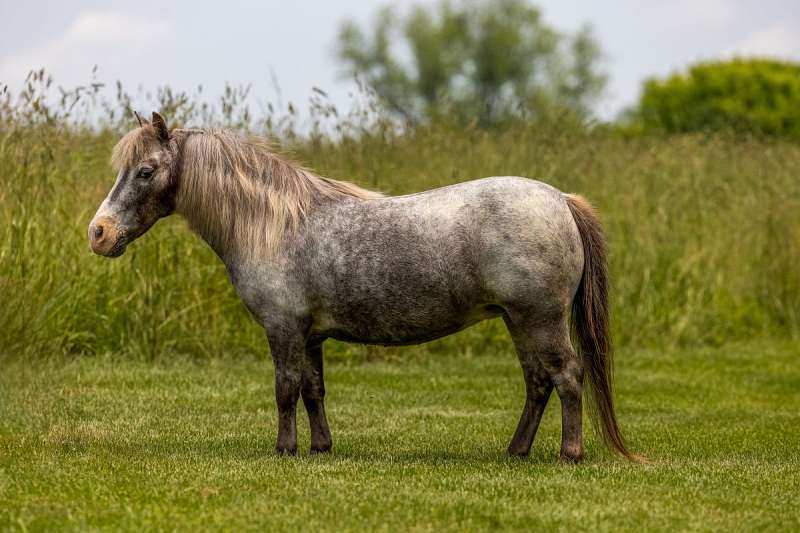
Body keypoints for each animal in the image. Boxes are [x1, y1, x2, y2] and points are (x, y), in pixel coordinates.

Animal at [88, 112, 636, 463]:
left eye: (145, 171)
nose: (99, 233)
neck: (276, 225)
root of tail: (560, 198)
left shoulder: (283, 330)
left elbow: (285, 390)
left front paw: (284, 450)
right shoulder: (309, 335)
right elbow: (313, 390)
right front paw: (319, 448)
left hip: (541, 321)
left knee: (566, 377)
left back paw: (569, 454)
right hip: (519, 322)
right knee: (538, 383)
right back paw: (516, 452)